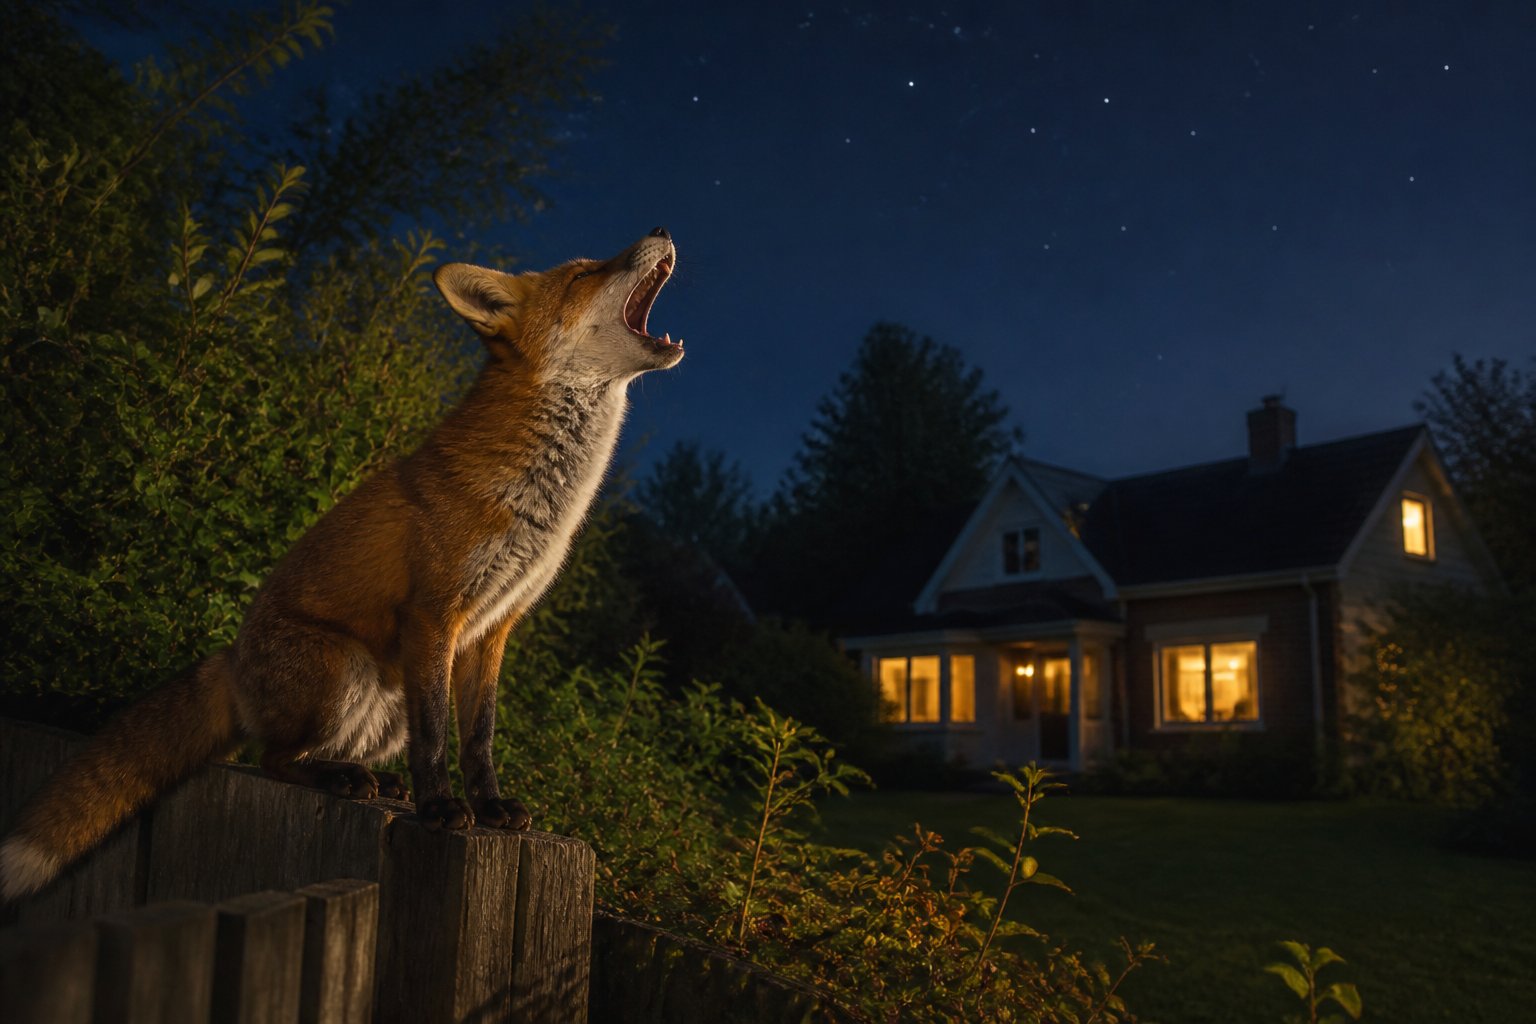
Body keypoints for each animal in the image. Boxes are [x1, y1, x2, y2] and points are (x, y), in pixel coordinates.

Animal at [0, 227, 686, 900]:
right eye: (585, 273)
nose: (661, 229)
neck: (543, 504)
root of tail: (232, 661)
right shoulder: (434, 614)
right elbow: (437, 736)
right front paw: (440, 810)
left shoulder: (493, 628)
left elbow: (479, 738)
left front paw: (489, 808)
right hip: (344, 672)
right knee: (272, 759)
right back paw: (345, 781)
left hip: (382, 709)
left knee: (302, 754)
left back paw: (363, 777)